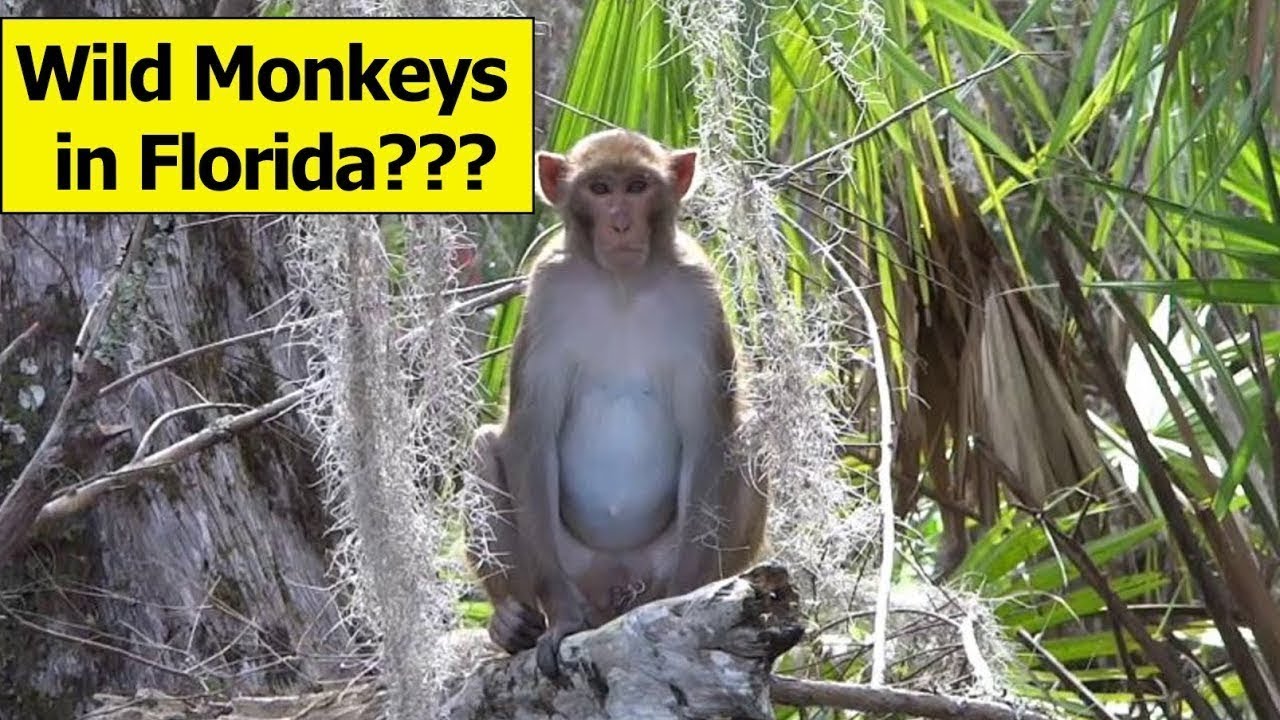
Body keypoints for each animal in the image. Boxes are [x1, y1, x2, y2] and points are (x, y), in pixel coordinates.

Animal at [465, 128, 769, 680]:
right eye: (601, 188)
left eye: (638, 186)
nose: (621, 223)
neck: (622, 283)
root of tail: (612, 589)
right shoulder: (548, 289)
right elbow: (531, 434)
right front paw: (562, 620)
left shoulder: (701, 293)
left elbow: (708, 434)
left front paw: (681, 603)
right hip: (572, 563)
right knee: (484, 447)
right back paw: (511, 622)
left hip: (657, 566)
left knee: (750, 434)